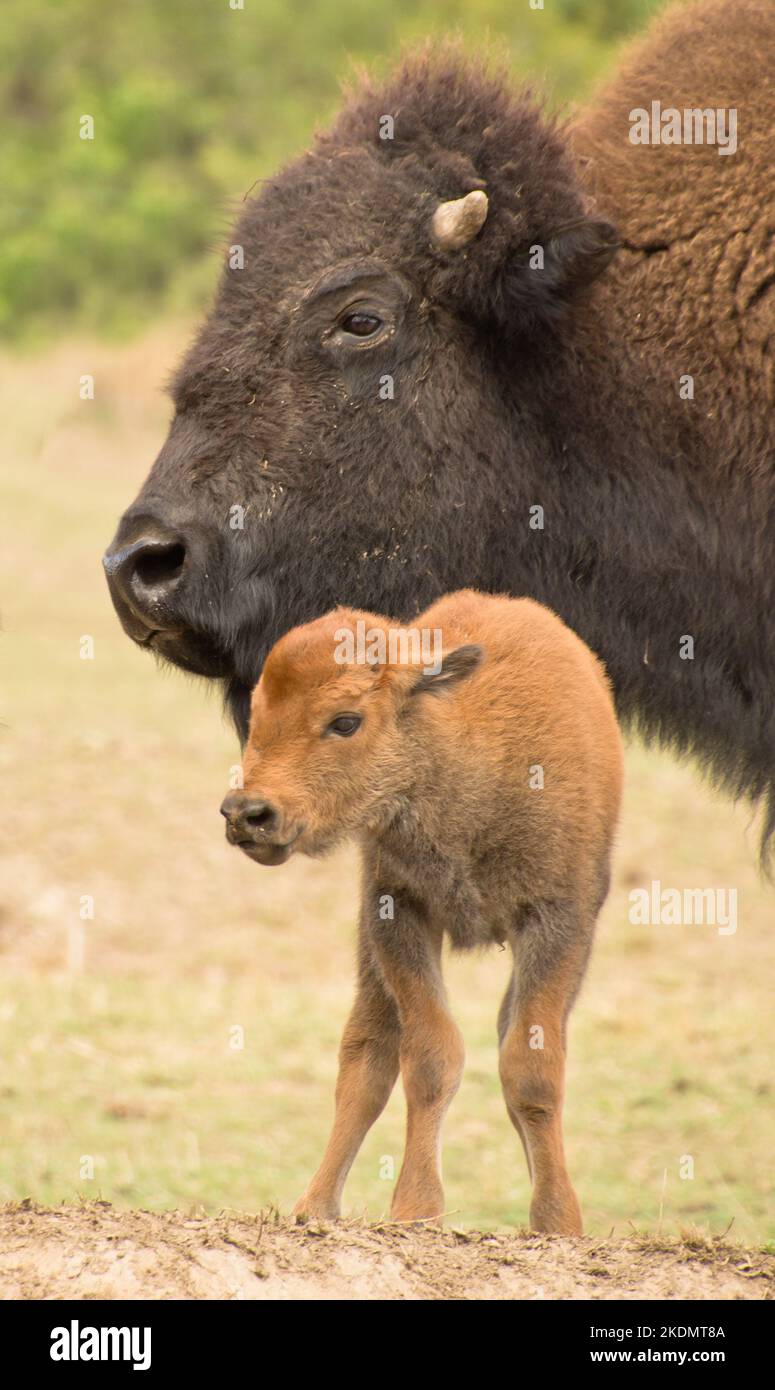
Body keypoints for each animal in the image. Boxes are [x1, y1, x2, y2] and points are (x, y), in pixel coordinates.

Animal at [220, 590, 623, 1232]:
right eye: (256, 716)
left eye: (345, 721)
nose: (247, 813)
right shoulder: (397, 914)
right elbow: (431, 1057)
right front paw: (417, 1208)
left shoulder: (558, 921)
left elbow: (531, 1069)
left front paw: (557, 1220)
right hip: (370, 951)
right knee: (365, 1060)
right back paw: (314, 1207)